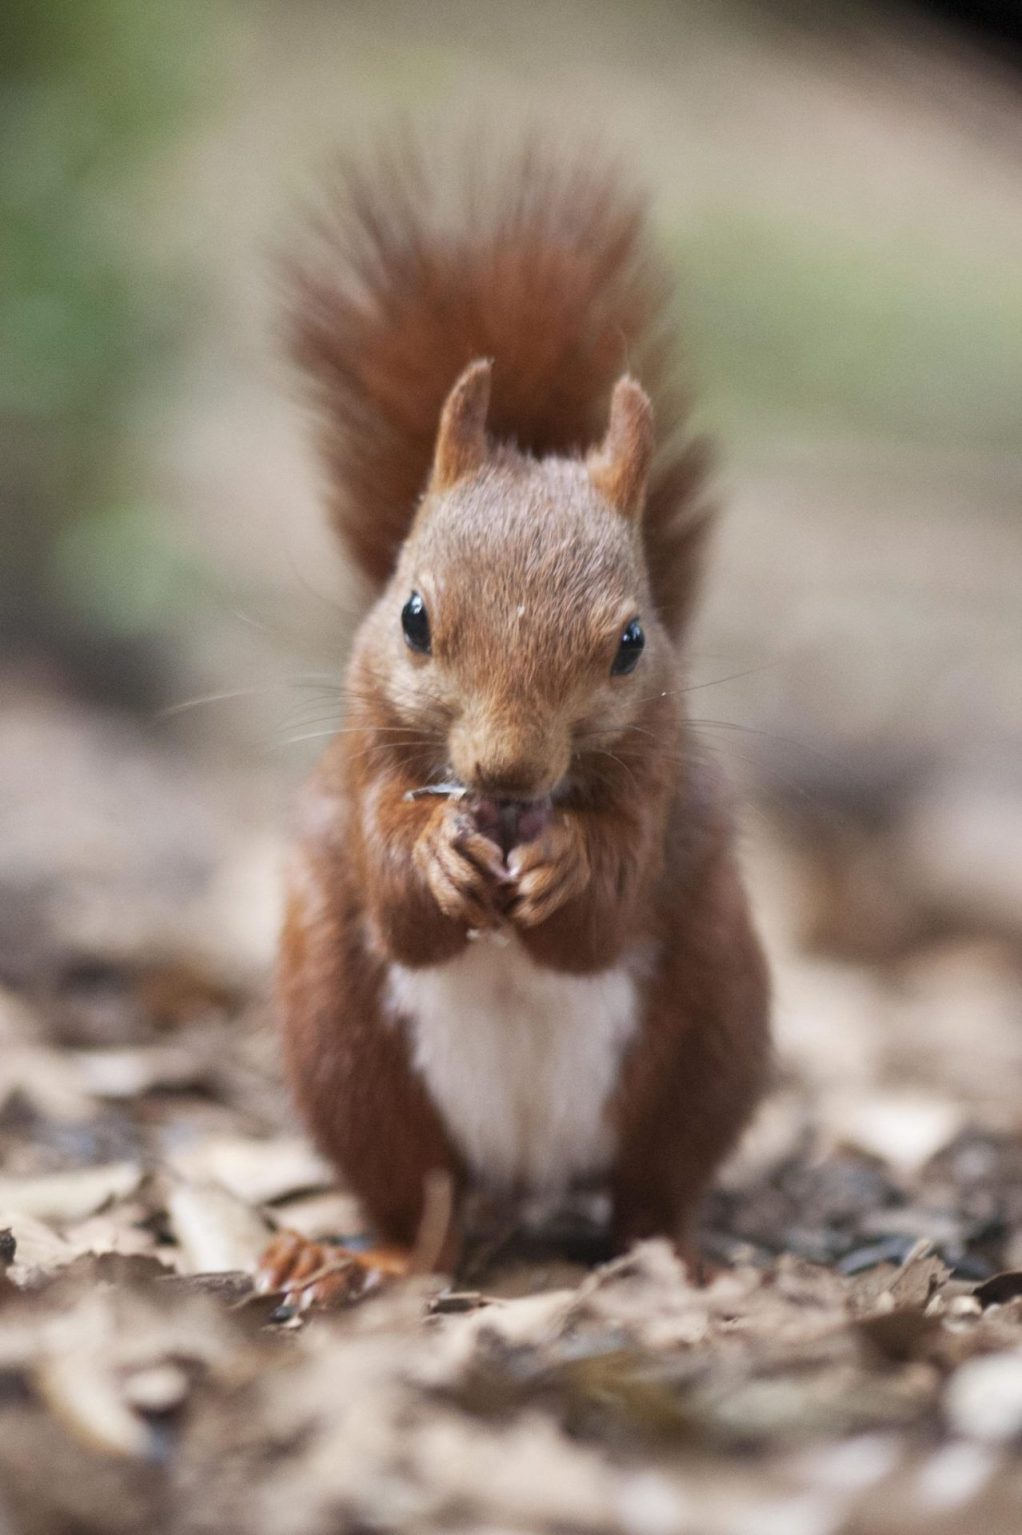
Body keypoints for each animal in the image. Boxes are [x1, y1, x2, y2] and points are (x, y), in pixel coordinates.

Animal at [263, 145, 771, 1298]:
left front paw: (566, 865)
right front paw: (435, 856)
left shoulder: (657, 786)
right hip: (344, 1049)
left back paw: (680, 1251)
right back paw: (342, 1254)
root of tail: (527, 1168)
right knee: (417, 1201)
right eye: (412, 615)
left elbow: (602, 911)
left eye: (631, 640)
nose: (504, 772)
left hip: (714, 1032)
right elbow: (397, 892)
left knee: (651, 1188)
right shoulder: (362, 764)